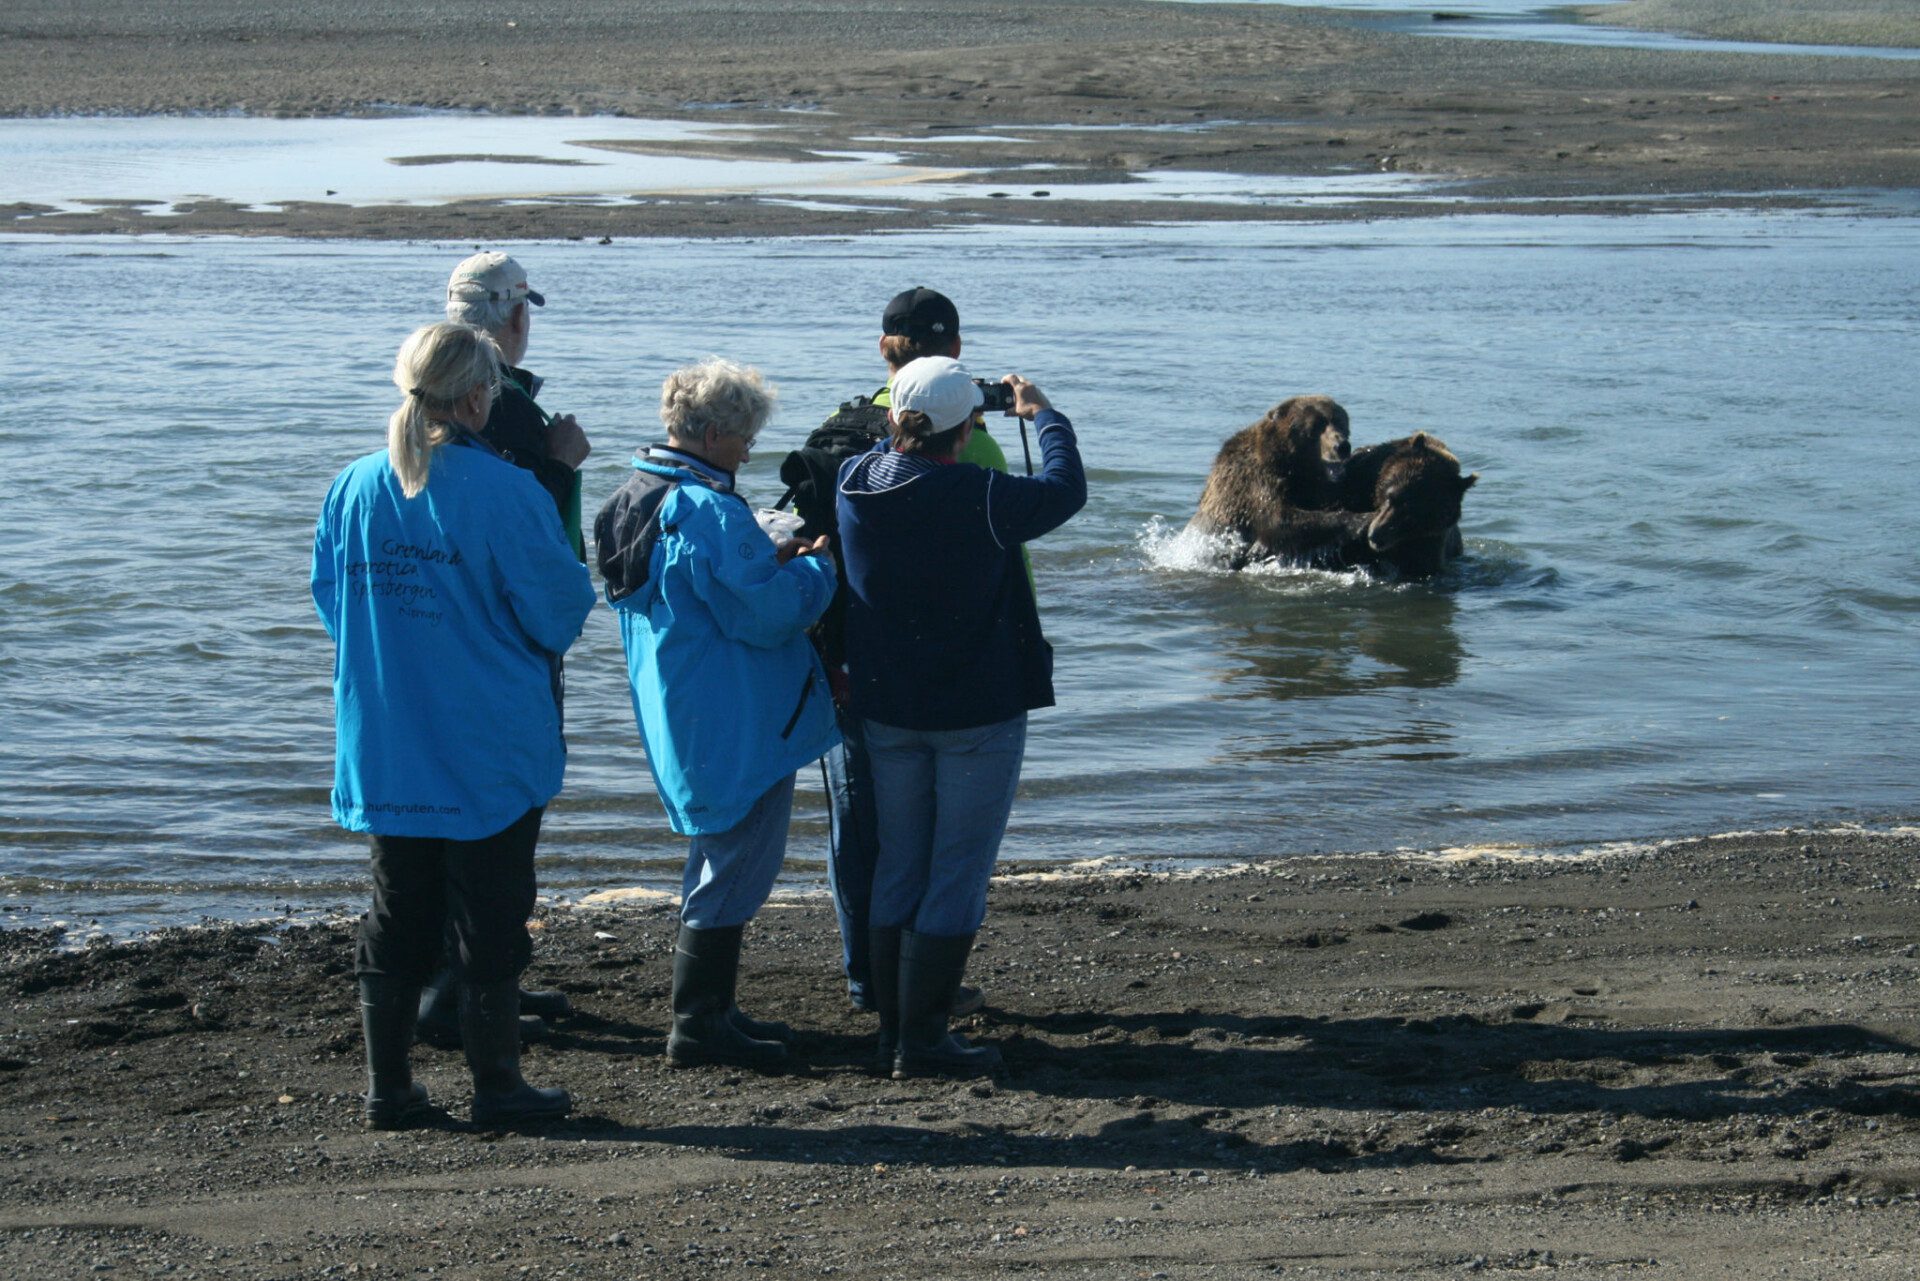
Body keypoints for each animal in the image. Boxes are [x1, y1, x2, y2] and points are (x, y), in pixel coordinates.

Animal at [1188, 395, 1372, 570]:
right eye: (1316, 426)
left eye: (1339, 421)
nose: (1341, 446)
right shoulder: (1252, 480)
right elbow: (1278, 519)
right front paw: (1362, 519)